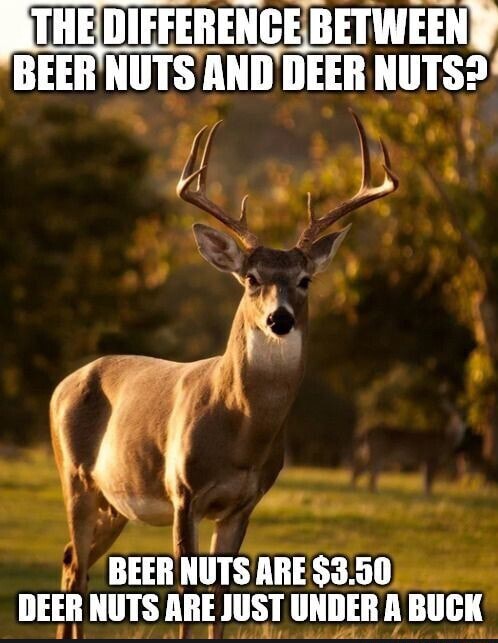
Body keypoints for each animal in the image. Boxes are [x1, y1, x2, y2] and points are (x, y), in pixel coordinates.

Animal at [50, 111, 398, 639]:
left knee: (73, 561)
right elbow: (187, 594)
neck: (240, 433)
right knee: (76, 565)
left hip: (114, 500)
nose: (280, 319)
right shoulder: (183, 492)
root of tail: (62, 385)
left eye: (304, 280)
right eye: (252, 278)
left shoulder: (243, 504)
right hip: (75, 477)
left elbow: (219, 597)